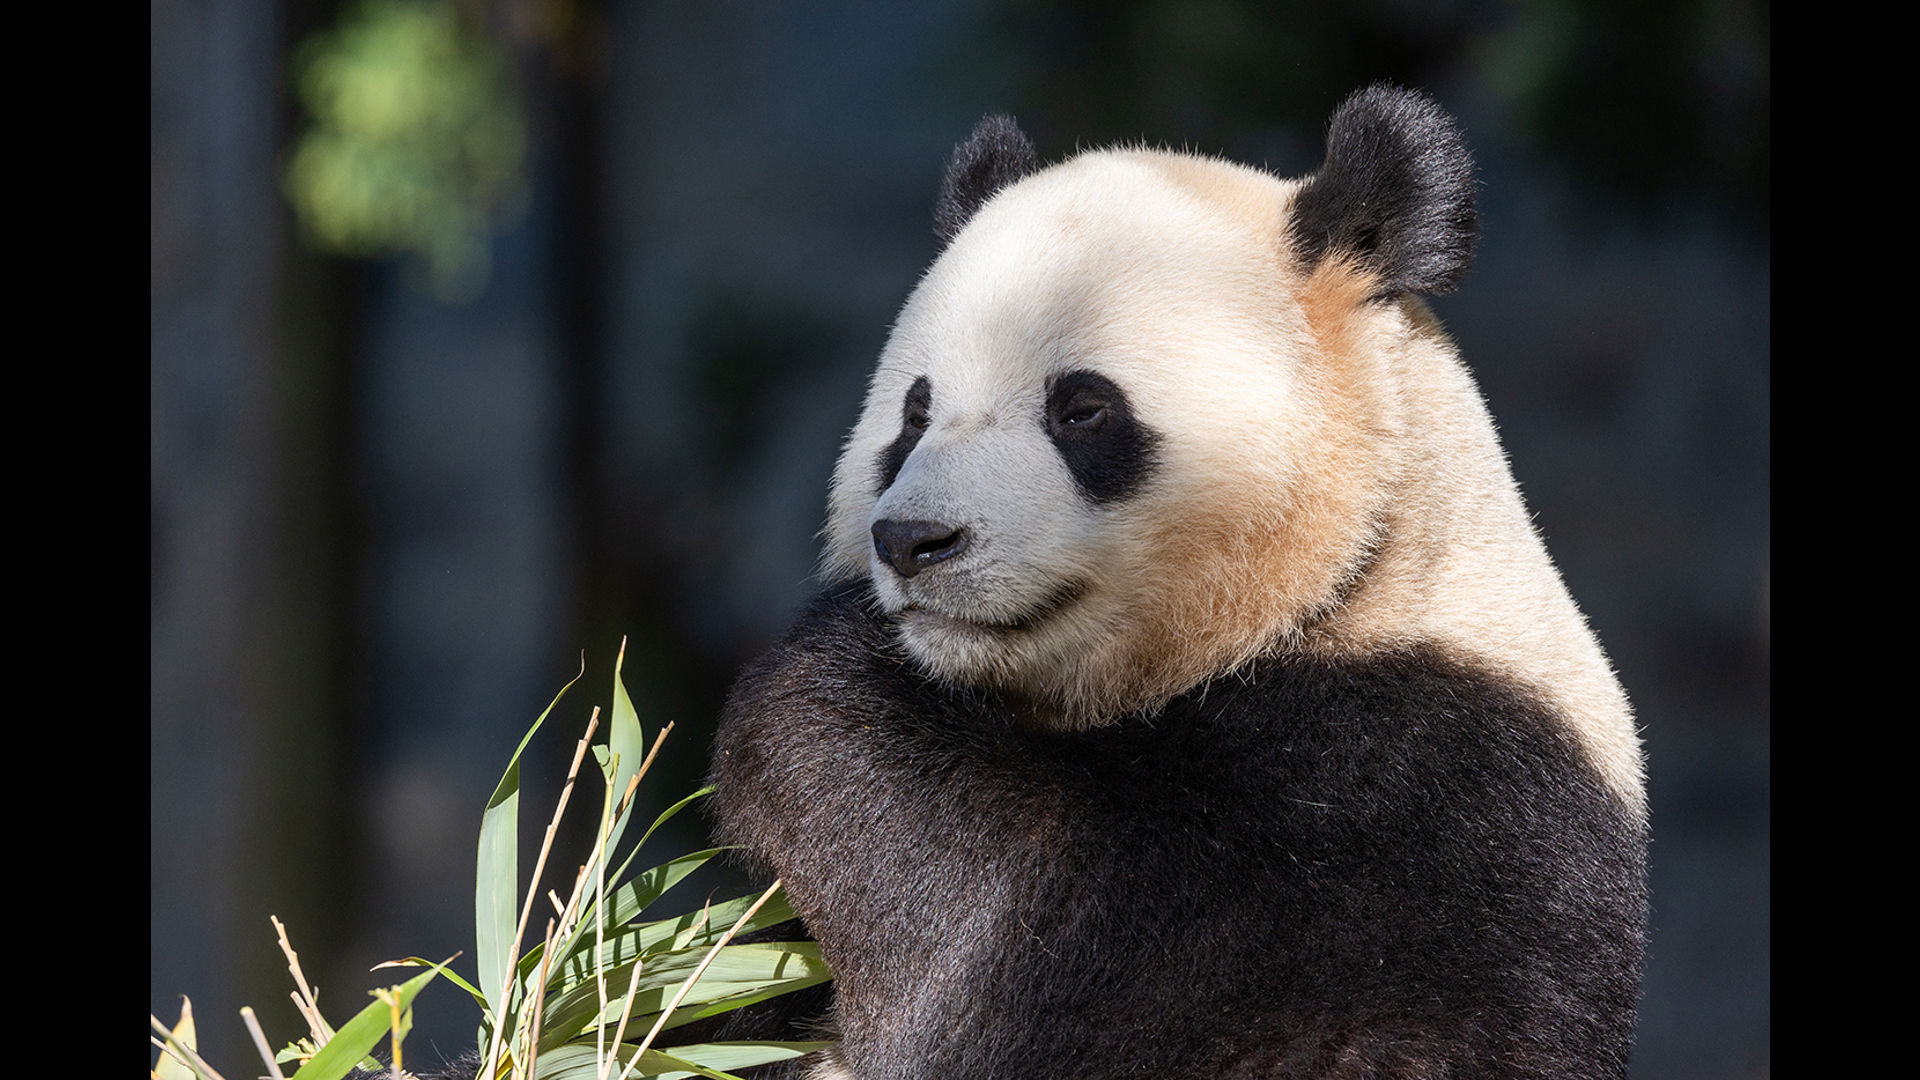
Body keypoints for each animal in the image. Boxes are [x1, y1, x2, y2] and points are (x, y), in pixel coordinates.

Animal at [710, 86, 1647, 1079]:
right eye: (914, 414)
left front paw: (821, 675)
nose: (912, 540)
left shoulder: (1422, 806)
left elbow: (1016, 934)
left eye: (1082, 409)